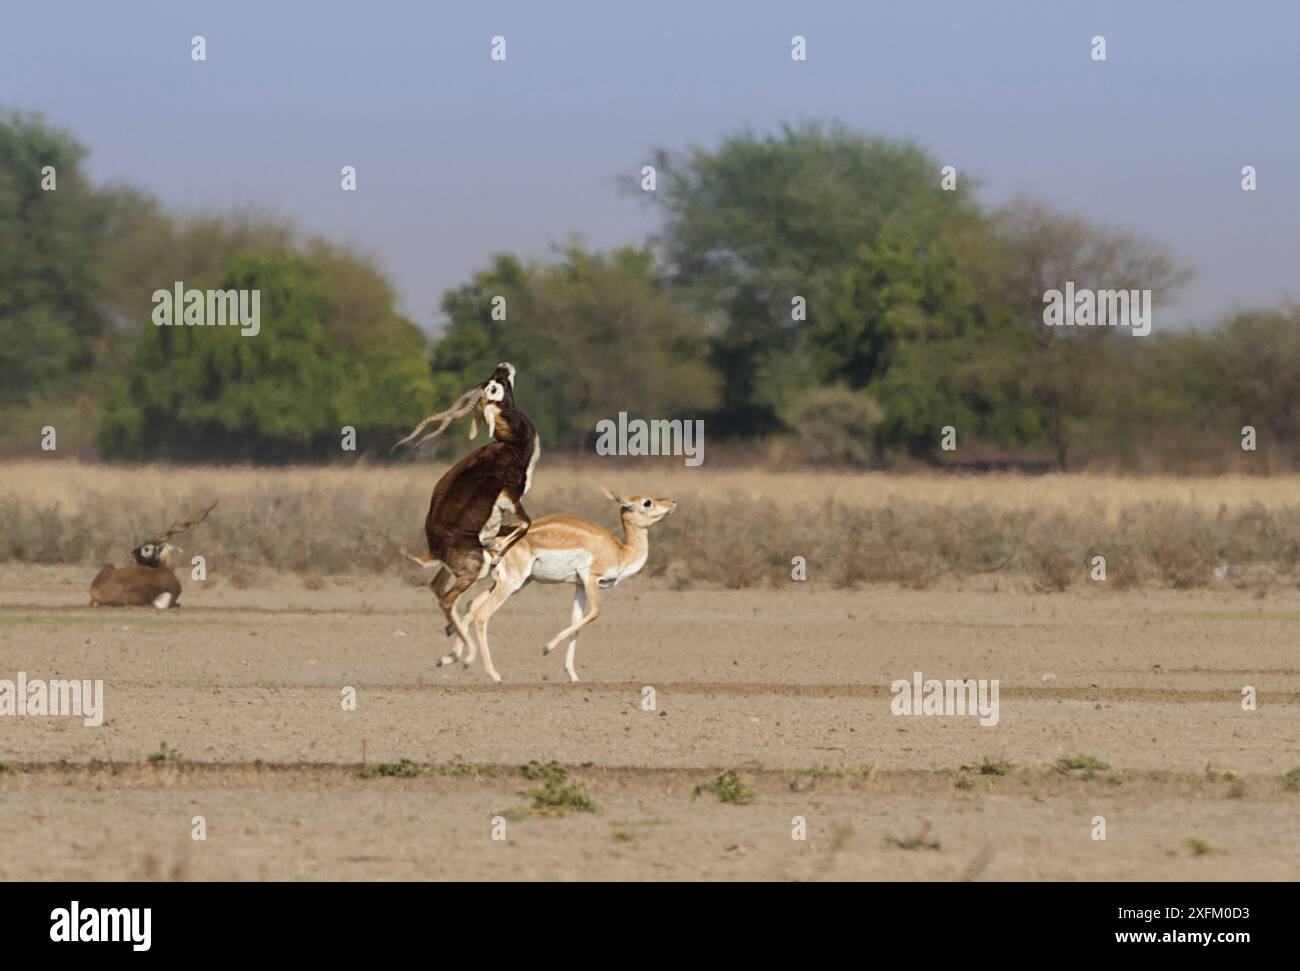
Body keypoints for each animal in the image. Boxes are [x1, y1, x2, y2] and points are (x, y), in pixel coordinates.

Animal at [394, 363, 540, 669]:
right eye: (493, 387)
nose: (503, 366)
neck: (512, 446)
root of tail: (433, 550)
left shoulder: (500, 520)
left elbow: (511, 534)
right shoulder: (513, 499)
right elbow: (525, 525)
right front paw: (497, 556)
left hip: (457, 571)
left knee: (437, 587)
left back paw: (453, 642)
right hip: (471, 570)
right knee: (447, 599)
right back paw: (465, 653)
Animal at [467, 488, 676, 683]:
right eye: (647, 502)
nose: (673, 502)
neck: (621, 552)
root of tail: (494, 541)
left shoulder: (579, 585)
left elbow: (576, 621)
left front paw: (573, 676)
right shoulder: (591, 578)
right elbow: (595, 612)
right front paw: (546, 648)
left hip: (514, 584)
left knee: (472, 604)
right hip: (511, 583)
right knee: (481, 613)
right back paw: (495, 675)